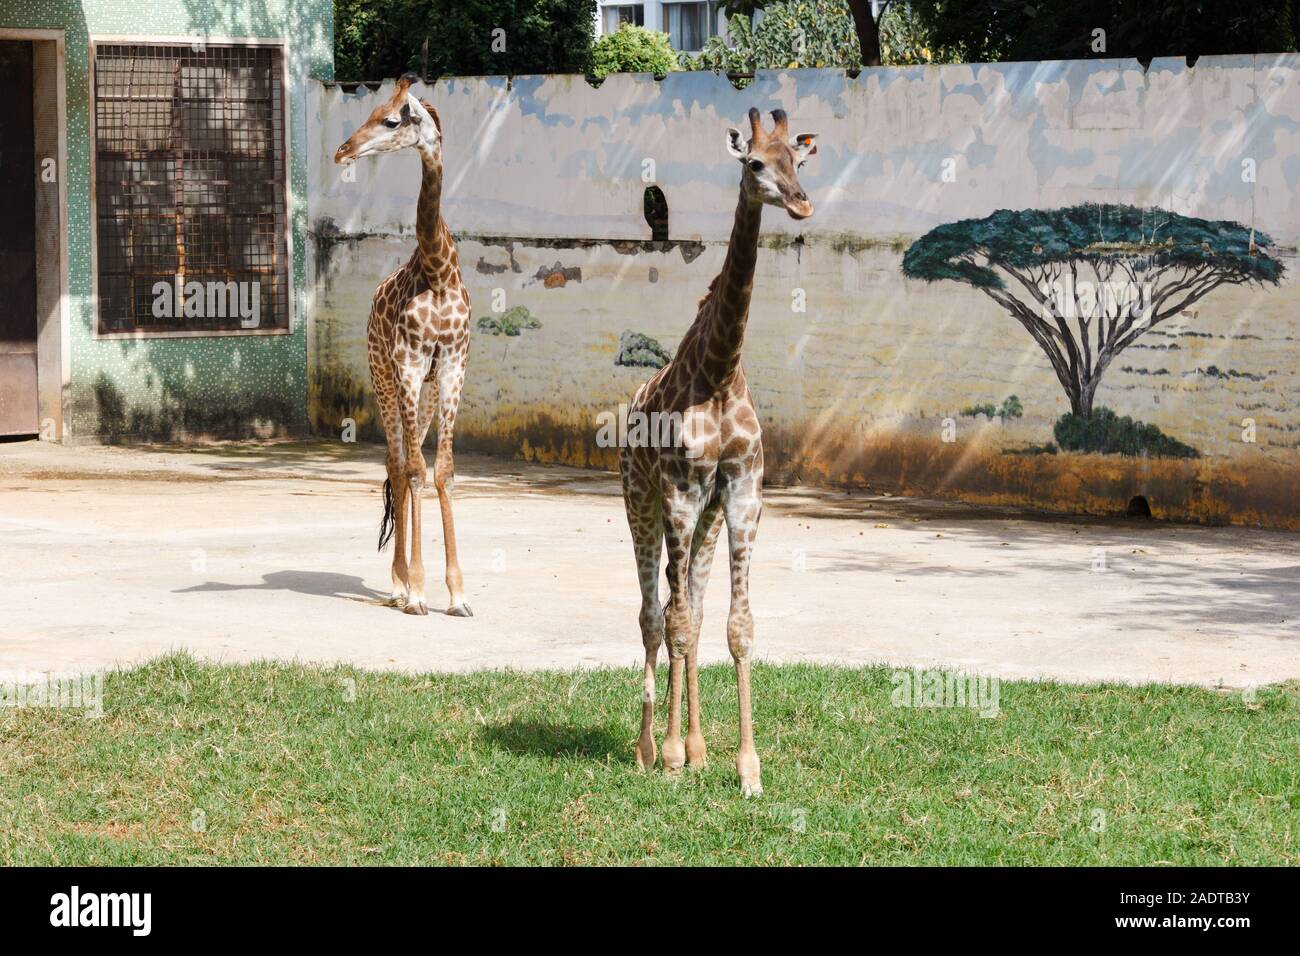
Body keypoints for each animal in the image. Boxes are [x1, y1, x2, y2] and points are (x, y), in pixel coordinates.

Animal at [333, 74, 473, 617]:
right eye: (371, 111)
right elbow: (413, 469)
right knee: (396, 465)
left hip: (428, 391)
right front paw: (416, 589)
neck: (437, 269)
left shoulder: (452, 366)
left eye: (391, 120)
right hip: (385, 379)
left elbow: (443, 472)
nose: (342, 150)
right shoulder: (409, 364)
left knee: (409, 465)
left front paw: (457, 593)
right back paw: (396, 586)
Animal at [619, 109, 818, 796]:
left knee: (692, 611)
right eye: (755, 163)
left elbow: (735, 627)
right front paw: (672, 758)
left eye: (799, 160)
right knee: (655, 615)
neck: (721, 370)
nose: (802, 203)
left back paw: (696, 747)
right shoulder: (680, 493)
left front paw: (745, 768)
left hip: (702, 520)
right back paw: (652, 749)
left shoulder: (742, 493)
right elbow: (673, 623)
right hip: (641, 504)